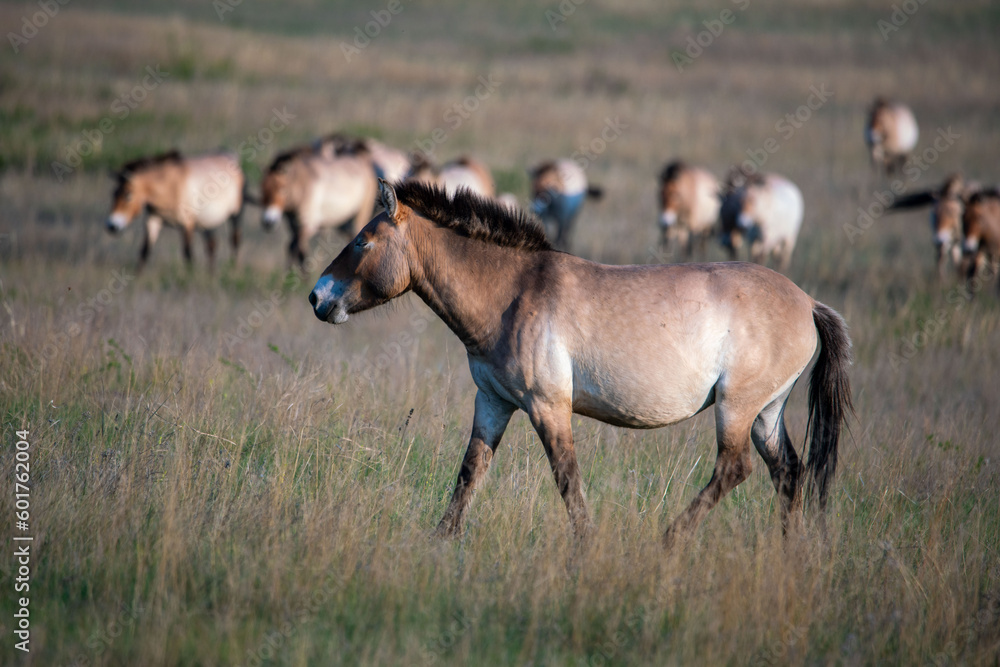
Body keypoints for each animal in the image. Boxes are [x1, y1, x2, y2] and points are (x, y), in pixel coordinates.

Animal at [106, 150, 245, 268]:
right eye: (113, 194)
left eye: (128, 195)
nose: (111, 226)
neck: (171, 185)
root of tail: (232, 159)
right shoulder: (153, 220)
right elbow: (144, 251)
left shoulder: (187, 224)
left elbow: (188, 254)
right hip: (208, 223)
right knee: (212, 246)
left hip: (236, 214)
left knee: (235, 240)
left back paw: (234, 269)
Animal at [308, 179, 853, 547]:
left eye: (361, 241)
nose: (317, 297)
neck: (512, 293)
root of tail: (807, 303)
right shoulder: (493, 402)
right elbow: (469, 474)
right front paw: (438, 541)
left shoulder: (548, 406)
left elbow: (567, 479)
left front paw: (585, 548)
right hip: (766, 413)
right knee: (788, 473)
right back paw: (787, 553)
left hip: (737, 408)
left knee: (736, 468)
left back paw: (669, 540)